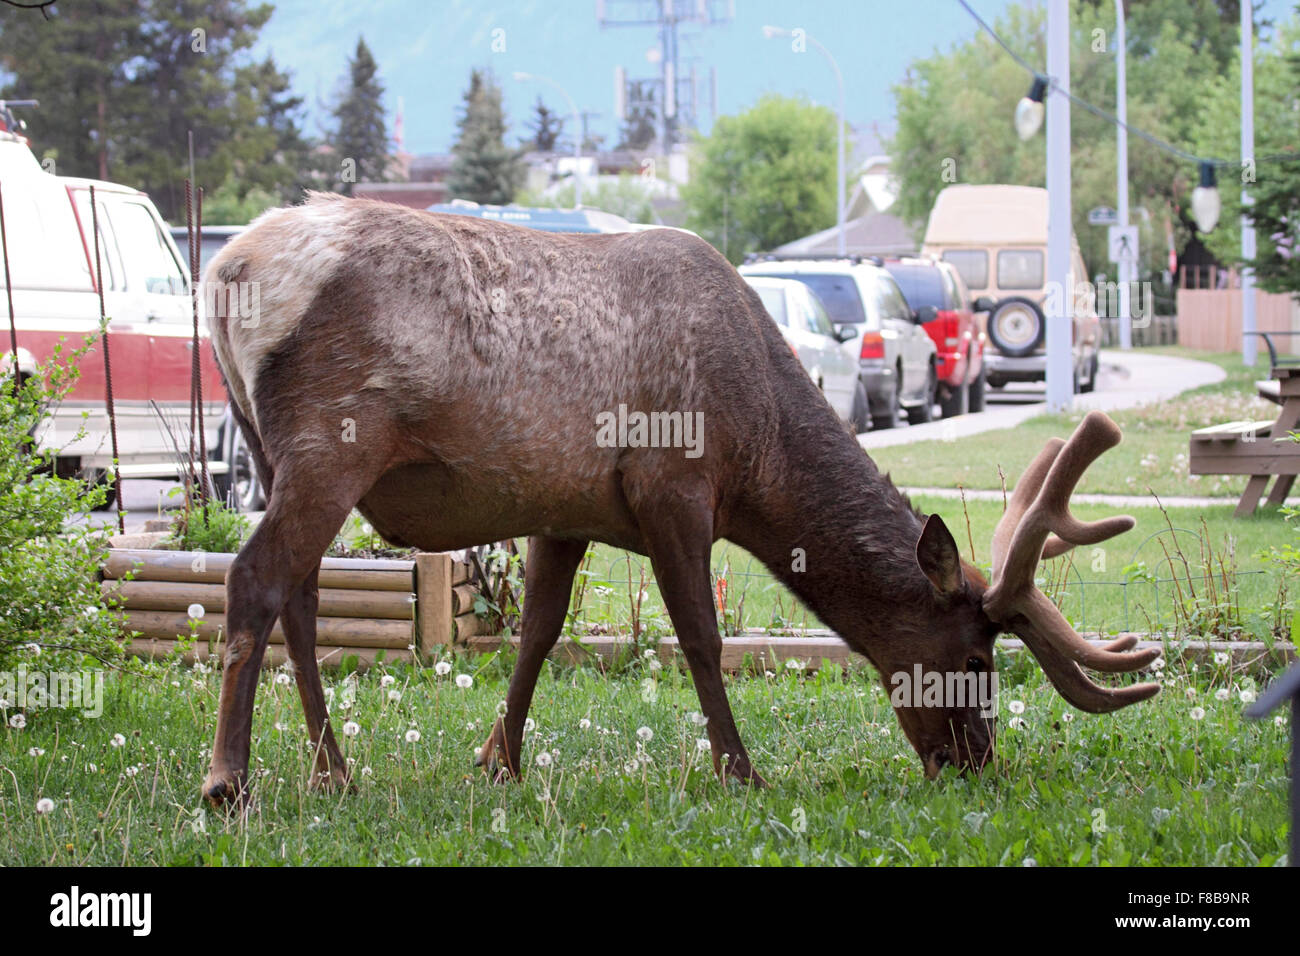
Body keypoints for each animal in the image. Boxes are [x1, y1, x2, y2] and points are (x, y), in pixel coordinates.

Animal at [198, 192, 1159, 806]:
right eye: (976, 659)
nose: (975, 764)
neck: (761, 451)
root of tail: (224, 270)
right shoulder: (674, 485)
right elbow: (702, 636)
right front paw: (740, 771)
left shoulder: (566, 509)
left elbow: (538, 632)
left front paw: (498, 761)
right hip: (332, 442)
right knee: (255, 578)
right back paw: (229, 780)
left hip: (272, 451)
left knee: (300, 597)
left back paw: (333, 771)